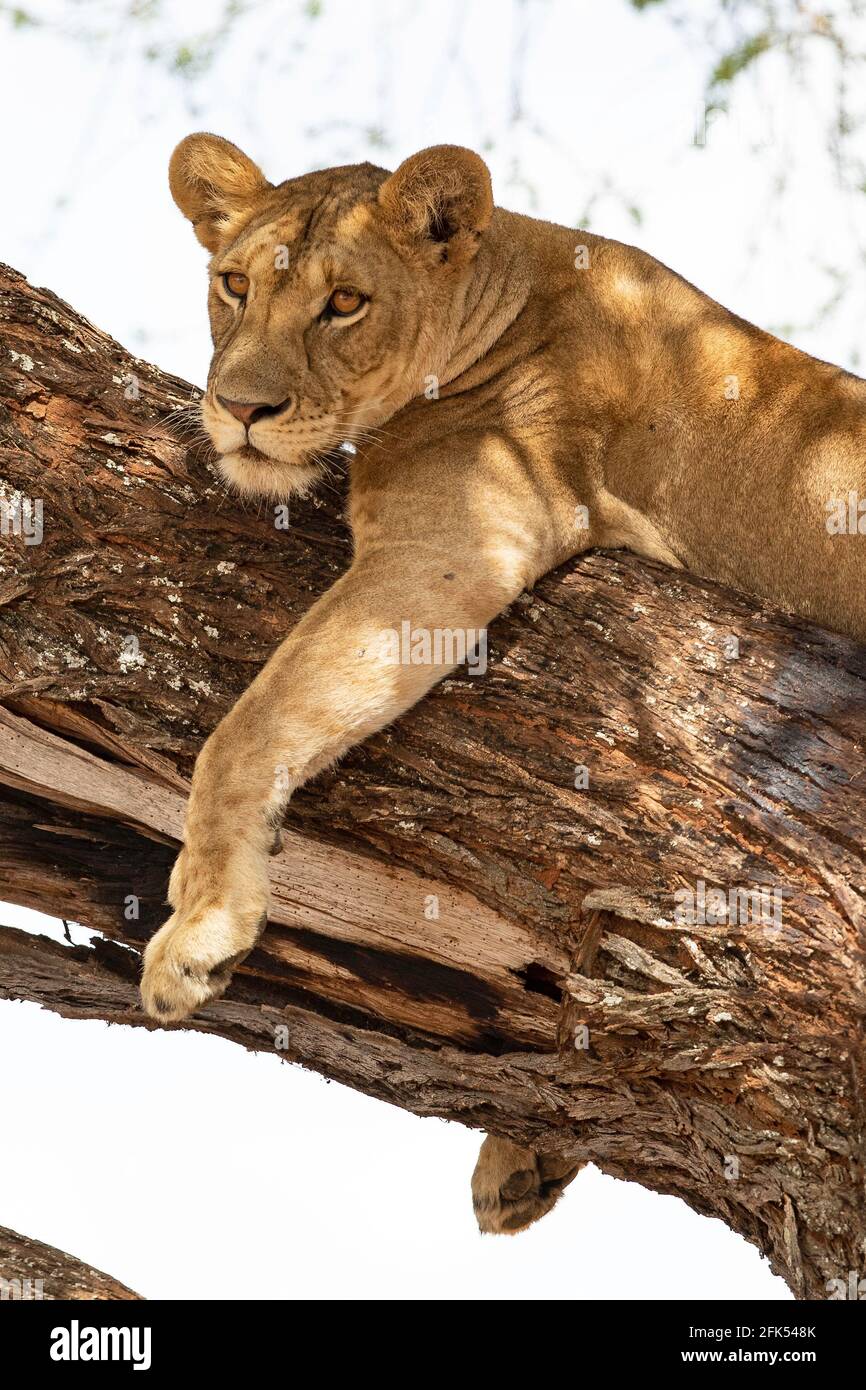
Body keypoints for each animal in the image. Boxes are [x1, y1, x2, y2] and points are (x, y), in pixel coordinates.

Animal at [141, 133, 866, 1236]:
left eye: (343, 303)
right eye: (233, 284)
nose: (239, 409)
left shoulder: (454, 546)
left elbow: (248, 729)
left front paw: (200, 928)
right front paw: (524, 1157)